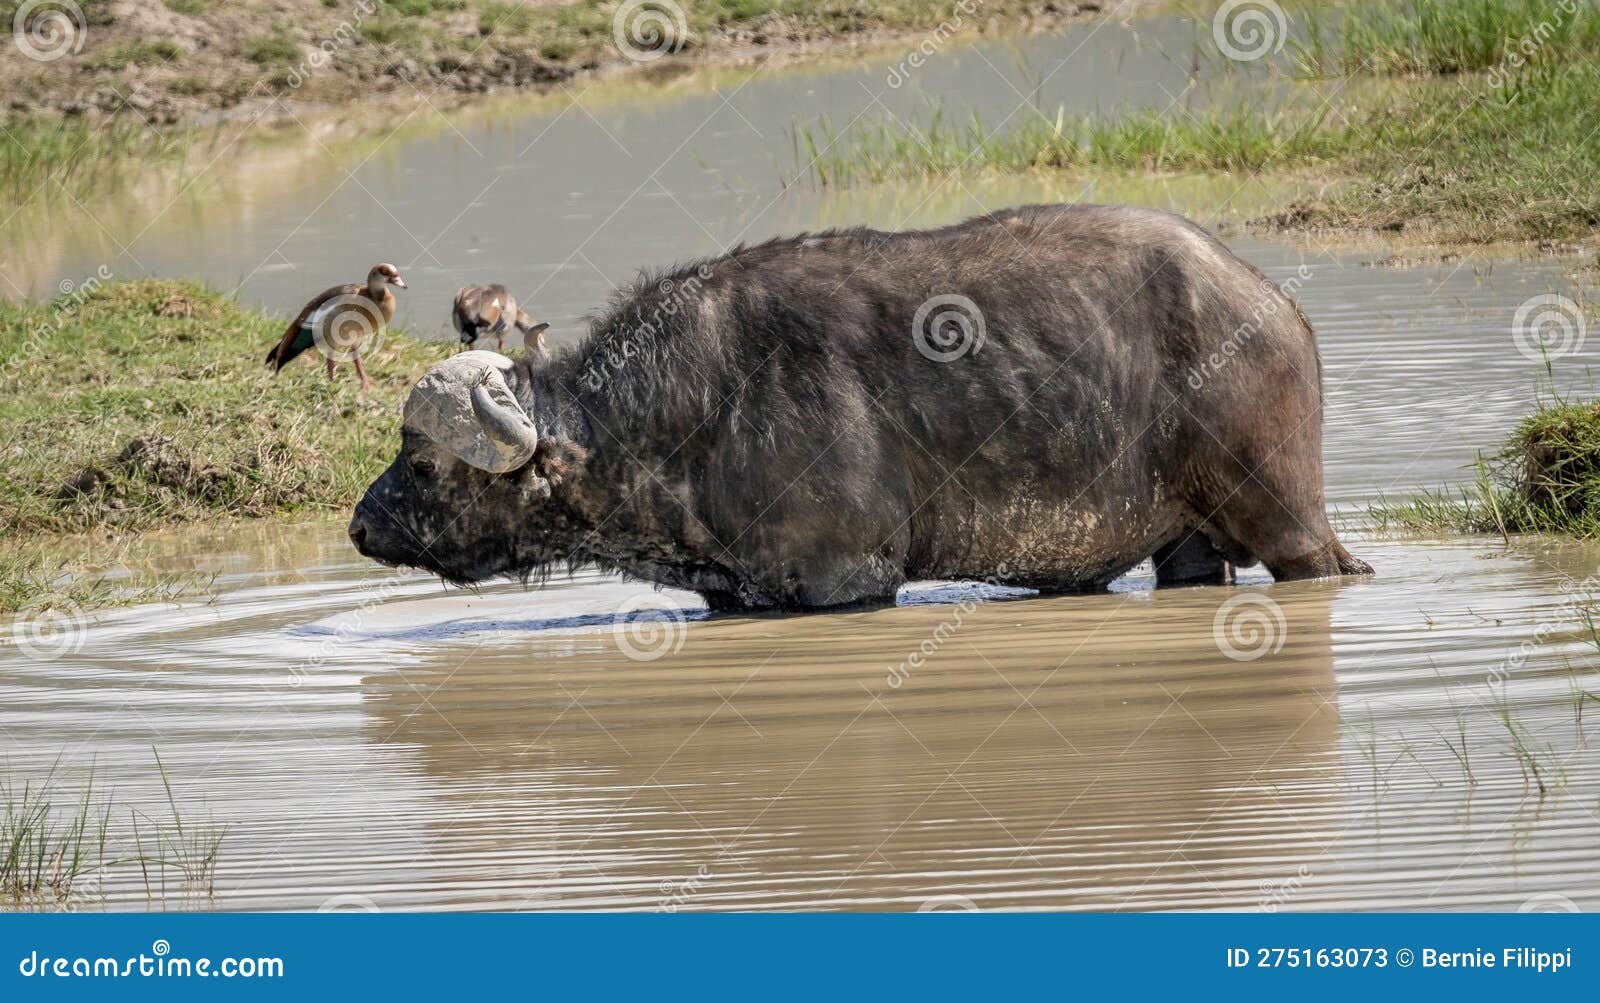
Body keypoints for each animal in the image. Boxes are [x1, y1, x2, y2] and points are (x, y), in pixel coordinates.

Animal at [349, 204, 1371, 610]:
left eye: (426, 461)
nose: (361, 525)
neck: (692, 416)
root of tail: (1271, 304)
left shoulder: (849, 579)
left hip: (1284, 517)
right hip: (1190, 544)